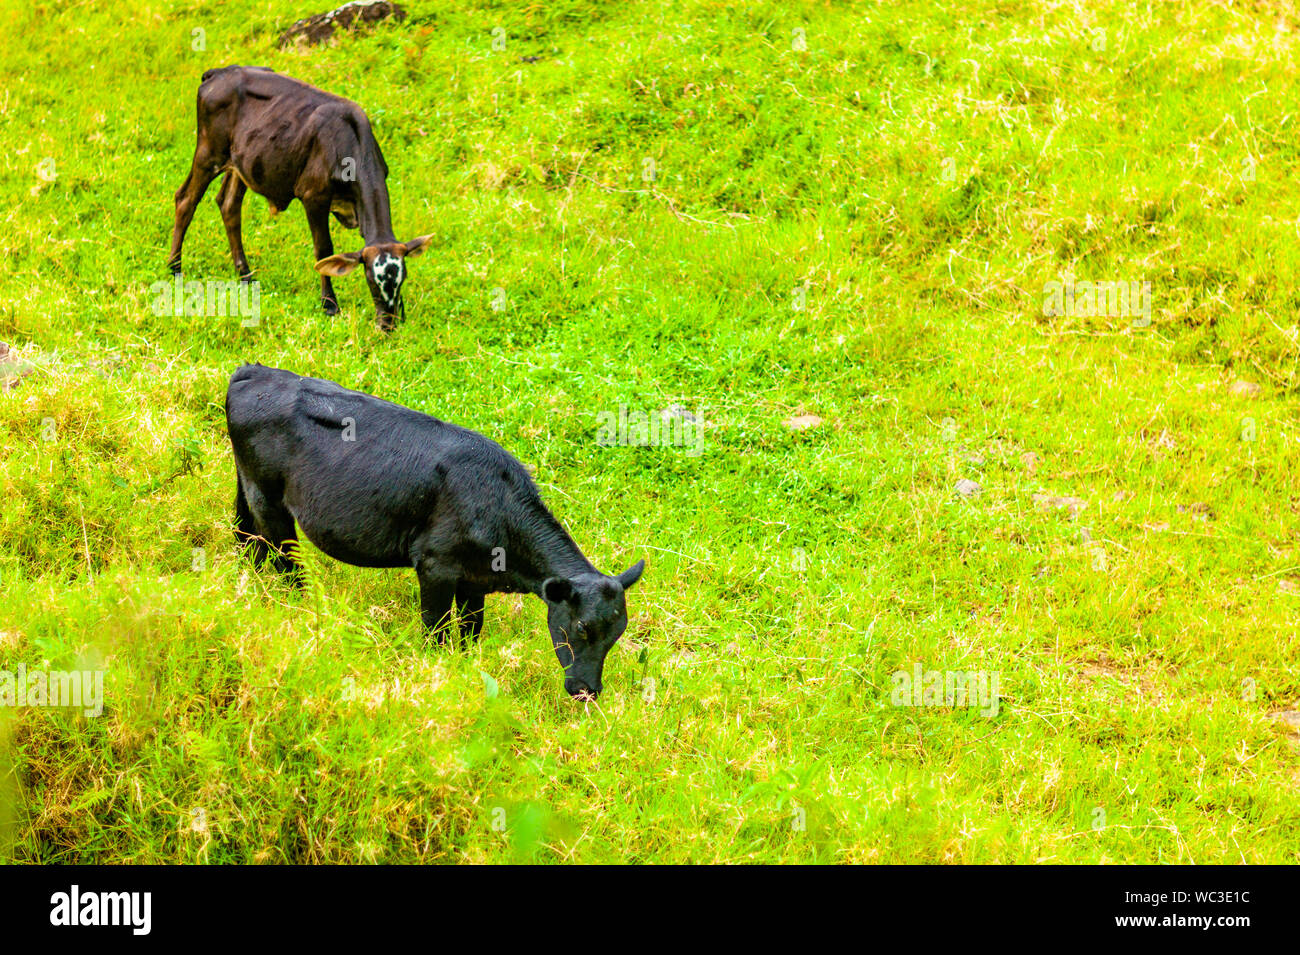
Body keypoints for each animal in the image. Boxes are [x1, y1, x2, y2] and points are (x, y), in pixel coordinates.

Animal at [168, 66, 431, 331]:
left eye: (402, 279)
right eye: (371, 281)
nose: (388, 325)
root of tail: (219, 72)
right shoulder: (314, 195)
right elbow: (324, 250)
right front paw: (329, 303)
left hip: (240, 164)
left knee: (229, 205)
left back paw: (245, 274)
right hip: (209, 154)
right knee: (186, 199)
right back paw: (175, 268)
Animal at [225, 364, 646, 700]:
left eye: (617, 634)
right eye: (582, 627)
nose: (588, 691)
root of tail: (254, 370)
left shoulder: (475, 580)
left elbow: (471, 631)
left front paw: (466, 668)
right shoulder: (435, 566)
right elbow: (436, 632)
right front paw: (436, 674)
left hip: (247, 489)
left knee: (247, 538)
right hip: (269, 500)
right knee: (283, 560)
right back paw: (297, 609)